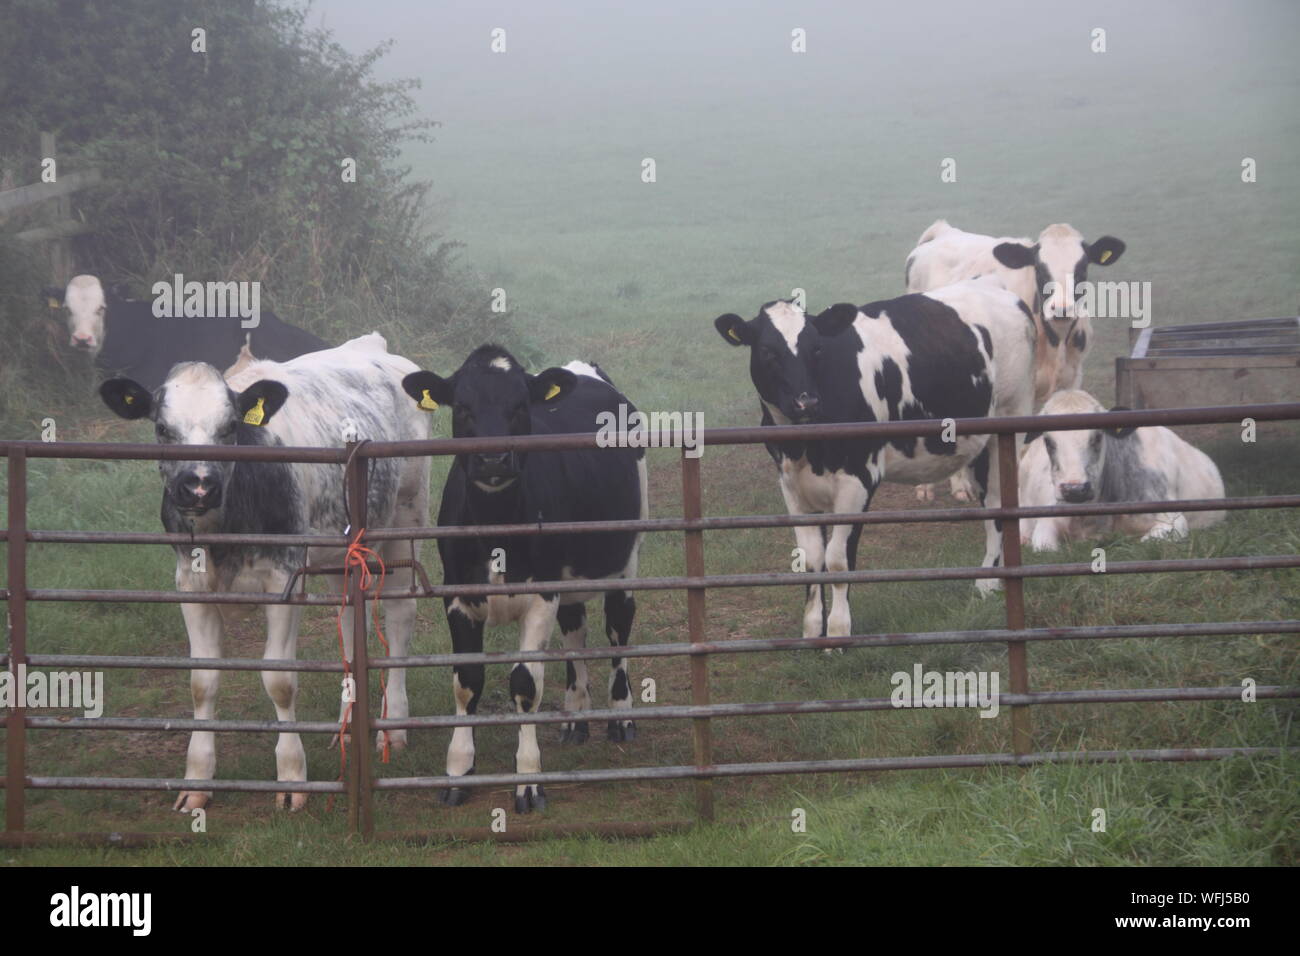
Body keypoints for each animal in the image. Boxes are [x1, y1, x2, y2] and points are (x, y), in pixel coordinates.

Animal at [98, 333, 430, 812]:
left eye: (229, 427)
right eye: (162, 429)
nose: (198, 485)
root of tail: (371, 345)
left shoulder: (283, 580)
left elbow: (280, 681)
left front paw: (292, 777)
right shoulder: (189, 584)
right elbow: (202, 683)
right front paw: (196, 781)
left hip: (406, 517)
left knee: (400, 618)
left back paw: (394, 728)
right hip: (340, 550)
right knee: (353, 622)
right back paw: (347, 724)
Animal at [400, 347, 647, 813]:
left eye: (519, 407)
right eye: (462, 407)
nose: (493, 458)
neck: (497, 529)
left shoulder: (540, 595)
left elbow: (525, 683)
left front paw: (528, 780)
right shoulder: (457, 597)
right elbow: (466, 682)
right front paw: (459, 771)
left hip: (626, 558)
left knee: (618, 628)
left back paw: (621, 714)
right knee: (575, 631)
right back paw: (574, 716)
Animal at [714, 275, 1036, 642]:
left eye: (817, 348)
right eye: (768, 351)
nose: (806, 401)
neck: (806, 444)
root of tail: (994, 286)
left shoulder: (858, 478)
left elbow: (838, 560)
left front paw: (838, 635)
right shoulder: (791, 483)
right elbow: (810, 560)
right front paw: (812, 632)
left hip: (1010, 424)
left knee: (997, 507)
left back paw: (986, 584)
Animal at [905, 220, 1126, 501]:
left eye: (1082, 268)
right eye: (1040, 269)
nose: (1061, 309)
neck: (1053, 339)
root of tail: (944, 230)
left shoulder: (1072, 377)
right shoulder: (1020, 393)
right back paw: (936, 486)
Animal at [1018, 389, 1226, 551]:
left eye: (1098, 437)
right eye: (1048, 441)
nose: (1074, 490)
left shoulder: (1172, 519)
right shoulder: (1048, 518)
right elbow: (1044, 548)